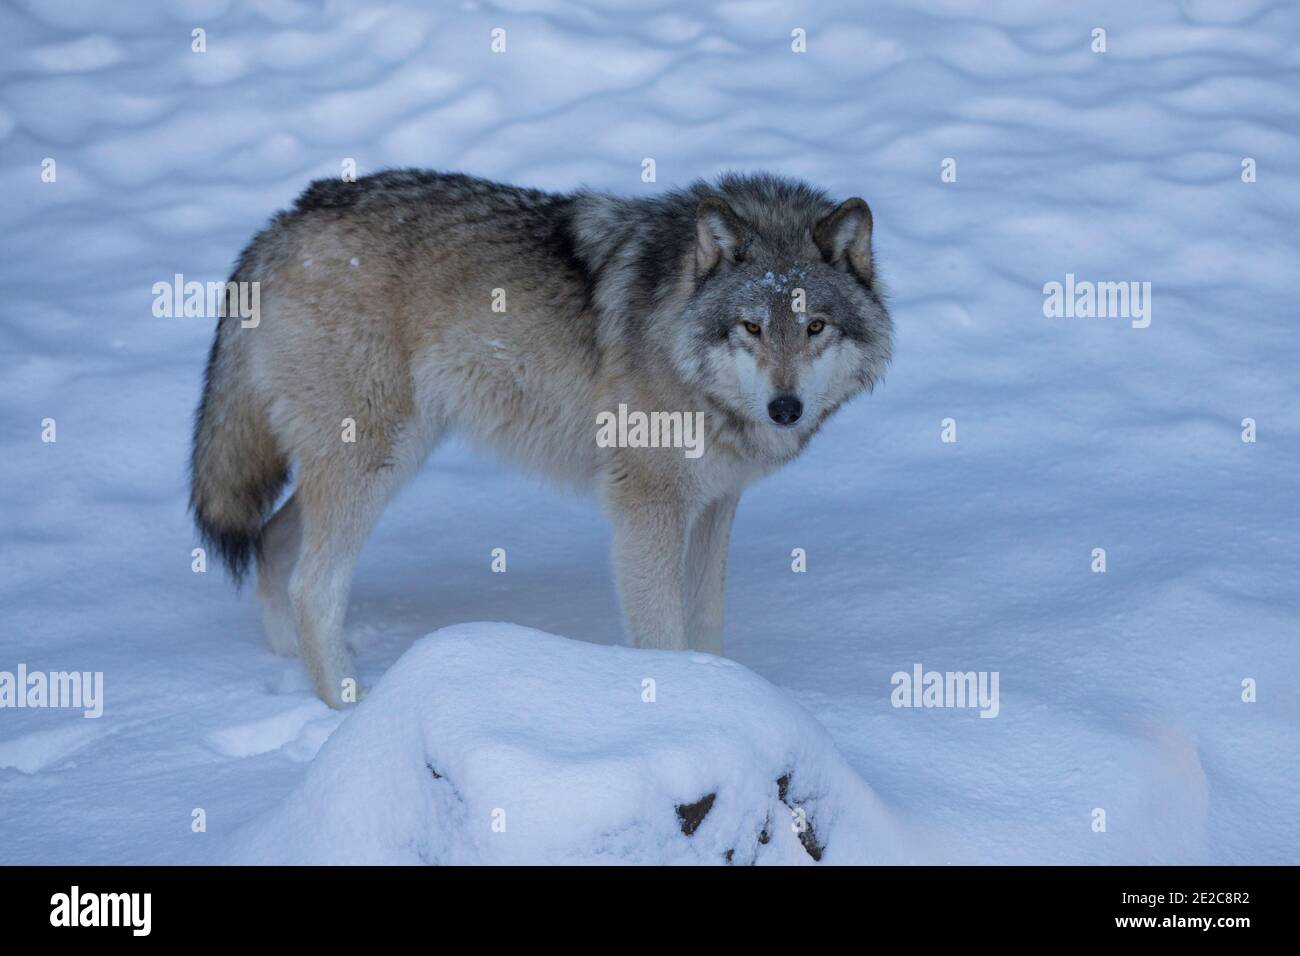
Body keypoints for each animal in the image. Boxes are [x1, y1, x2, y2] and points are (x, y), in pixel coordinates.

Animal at [191, 170, 892, 707]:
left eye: (815, 326)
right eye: (751, 326)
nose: (785, 409)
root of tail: (283, 221)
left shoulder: (716, 503)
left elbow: (707, 622)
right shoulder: (648, 509)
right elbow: (664, 637)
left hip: (380, 460)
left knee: (269, 541)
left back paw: (292, 671)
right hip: (374, 460)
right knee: (312, 586)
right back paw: (347, 708)